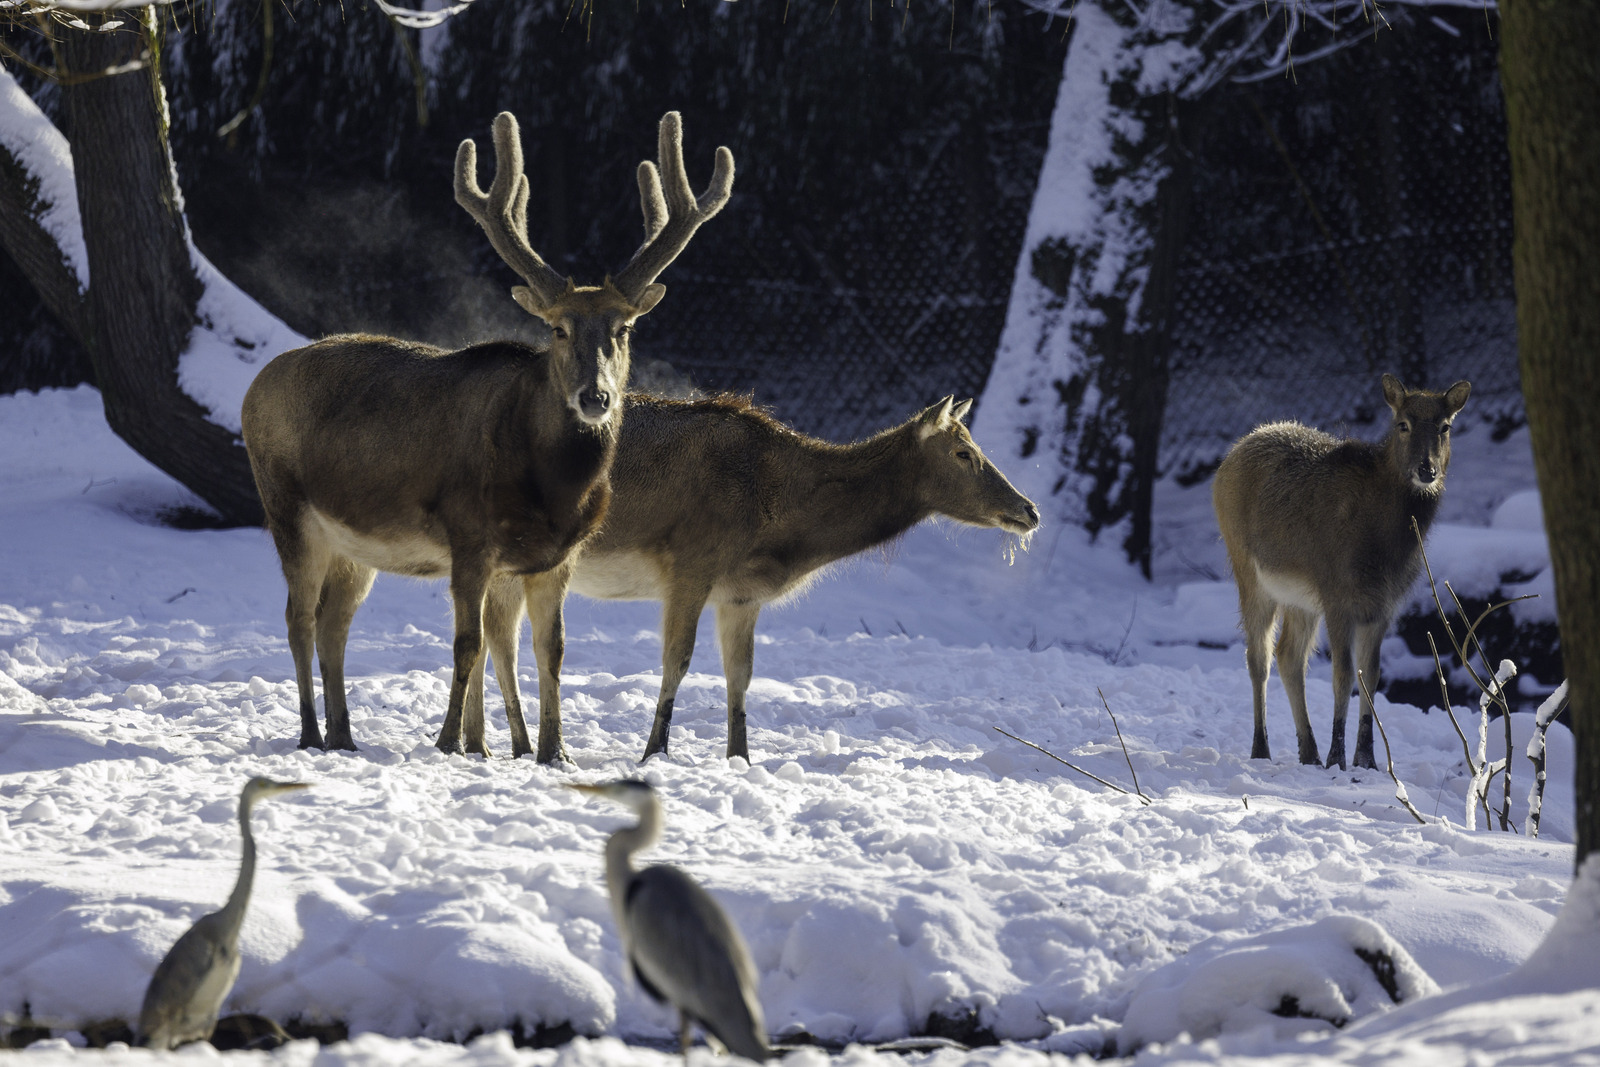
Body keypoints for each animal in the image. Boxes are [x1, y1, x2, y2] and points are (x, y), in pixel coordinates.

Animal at [240, 110, 733, 763]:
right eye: (557, 328)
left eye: (624, 328)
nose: (595, 397)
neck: (555, 492)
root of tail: (253, 389)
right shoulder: (469, 536)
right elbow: (467, 645)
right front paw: (451, 740)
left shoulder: (559, 556)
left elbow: (553, 650)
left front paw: (555, 751)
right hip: (285, 504)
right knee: (297, 618)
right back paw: (310, 734)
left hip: (353, 545)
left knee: (332, 624)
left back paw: (344, 736)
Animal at [460, 393, 1041, 763]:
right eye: (963, 452)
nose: (1029, 510)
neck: (779, 531)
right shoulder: (691, 565)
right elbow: (678, 661)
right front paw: (655, 752)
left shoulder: (741, 596)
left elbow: (741, 673)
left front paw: (740, 758)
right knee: (499, 637)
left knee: (492, 634)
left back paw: (483, 742)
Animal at [1212, 373, 1472, 771]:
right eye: (1403, 424)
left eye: (1445, 427)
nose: (1426, 469)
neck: (1383, 549)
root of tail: (1229, 458)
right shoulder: (1337, 594)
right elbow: (1343, 674)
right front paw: (1339, 757)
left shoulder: (1384, 605)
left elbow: (1372, 674)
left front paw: (1366, 758)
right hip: (1247, 569)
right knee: (1259, 657)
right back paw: (1263, 748)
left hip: (1300, 597)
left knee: (1289, 656)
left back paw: (1309, 753)